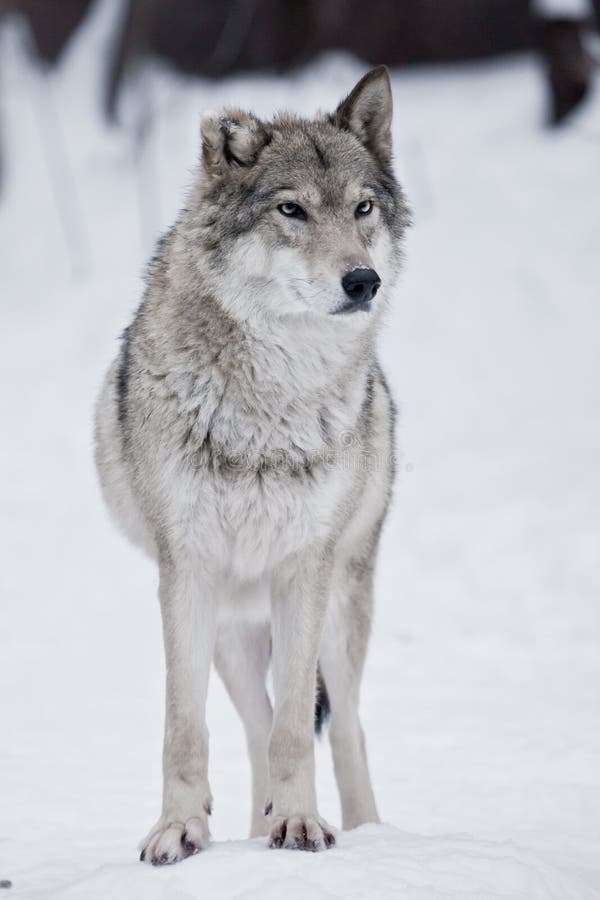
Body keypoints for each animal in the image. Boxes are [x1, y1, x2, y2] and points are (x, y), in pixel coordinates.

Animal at [94, 66, 409, 864]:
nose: (362, 281)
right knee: (253, 722)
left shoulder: (305, 570)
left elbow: (299, 726)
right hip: (233, 628)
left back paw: (359, 831)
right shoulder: (188, 573)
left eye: (362, 207)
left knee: (344, 724)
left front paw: (301, 824)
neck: (272, 403)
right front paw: (179, 830)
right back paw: (253, 826)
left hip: (340, 605)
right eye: (291, 210)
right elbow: (186, 727)